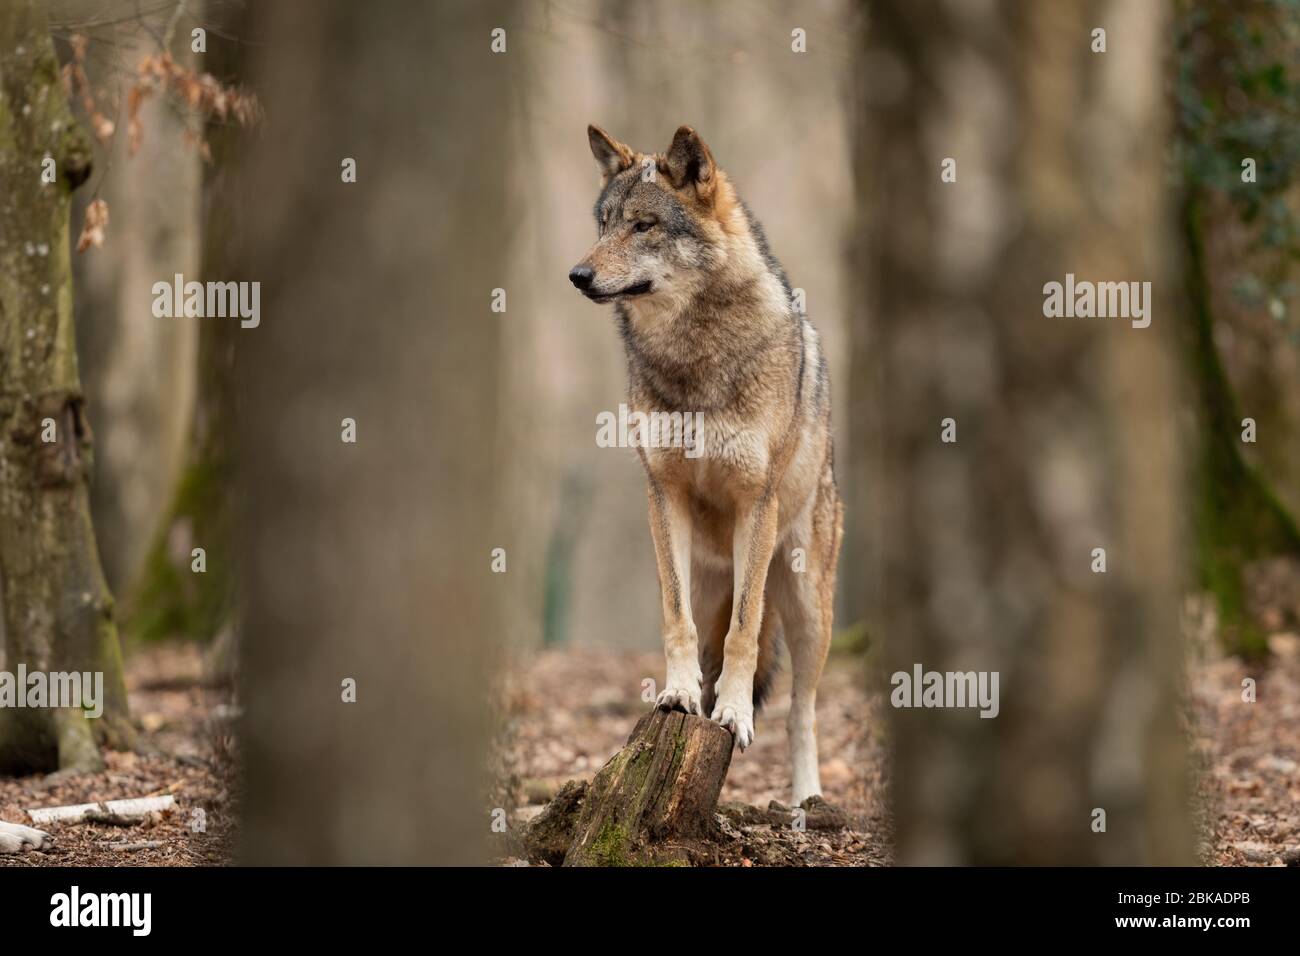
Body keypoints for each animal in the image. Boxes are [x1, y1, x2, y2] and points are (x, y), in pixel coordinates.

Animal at [569, 124, 843, 806]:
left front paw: (735, 716)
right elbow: (675, 620)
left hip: (807, 606)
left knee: (801, 709)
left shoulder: (756, 500)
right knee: (705, 639)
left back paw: (805, 801)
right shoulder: (662, 493)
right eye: (604, 223)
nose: (578, 274)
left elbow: (746, 633)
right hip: (707, 574)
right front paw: (678, 696)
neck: (692, 354)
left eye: (644, 226)